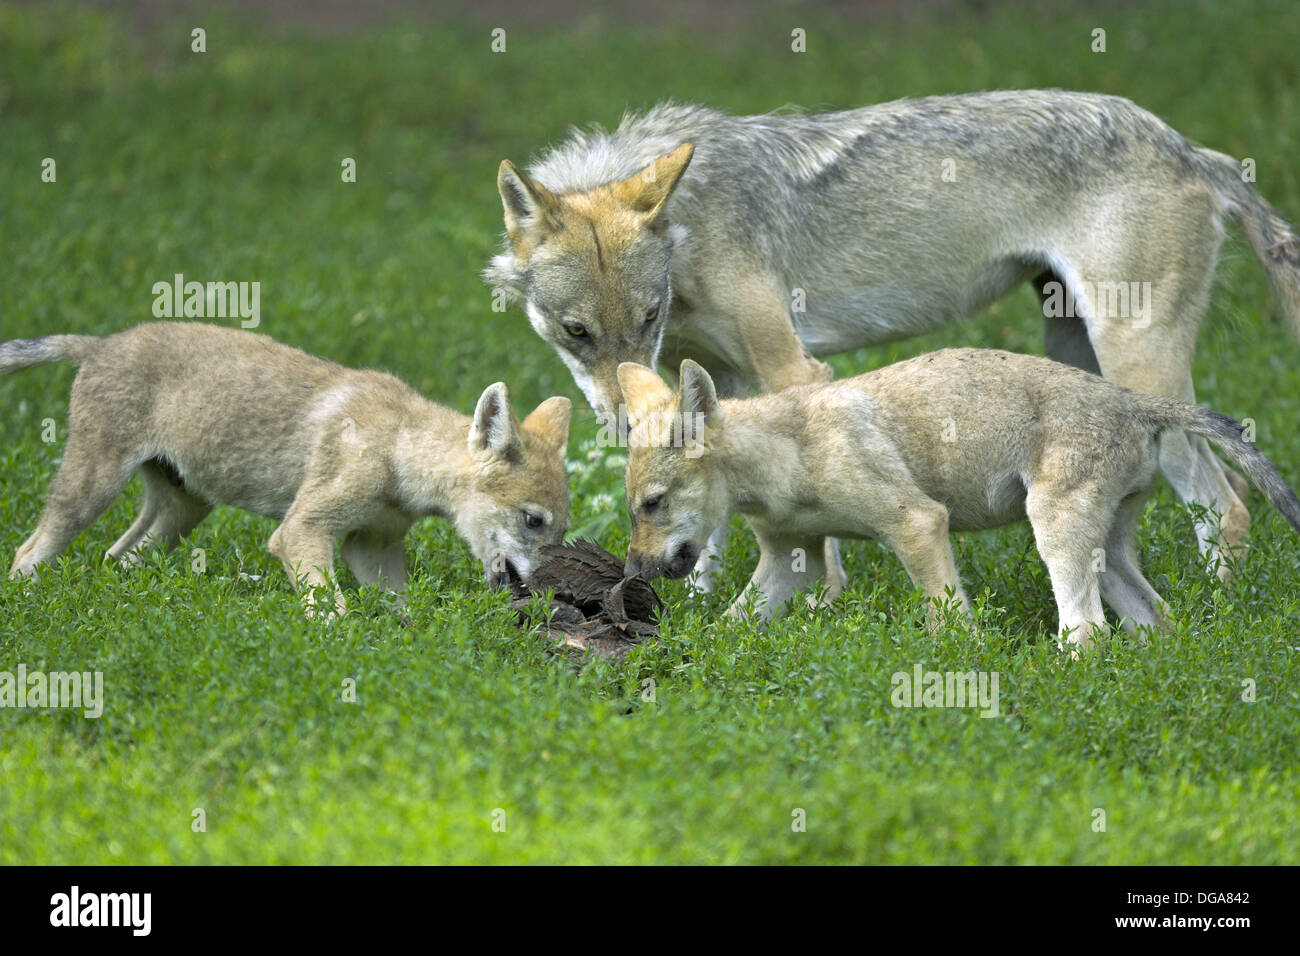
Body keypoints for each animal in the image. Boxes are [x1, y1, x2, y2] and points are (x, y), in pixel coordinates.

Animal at [1, 322, 572, 615]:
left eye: (562, 532)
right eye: (533, 521)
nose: (551, 593)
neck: (397, 450)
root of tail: (100, 343)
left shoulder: (372, 546)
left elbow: (401, 610)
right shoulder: (301, 531)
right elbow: (333, 612)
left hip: (180, 513)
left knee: (114, 558)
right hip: (92, 491)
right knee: (28, 553)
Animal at [484, 91, 1300, 589]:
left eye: (647, 320)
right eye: (577, 332)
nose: (624, 427)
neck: (691, 234)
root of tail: (1196, 151)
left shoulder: (794, 369)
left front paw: (820, 611)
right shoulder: (721, 385)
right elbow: (705, 523)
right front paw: (691, 607)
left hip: (1138, 366)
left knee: (1231, 503)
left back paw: (1213, 622)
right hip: (1077, 356)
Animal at [616, 350, 1300, 652]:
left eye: (652, 504)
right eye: (634, 508)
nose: (634, 574)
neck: (783, 457)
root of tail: (1135, 402)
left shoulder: (917, 523)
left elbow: (952, 628)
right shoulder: (792, 560)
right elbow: (730, 624)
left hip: (1053, 533)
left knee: (1086, 631)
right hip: (1107, 555)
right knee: (1153, 621)